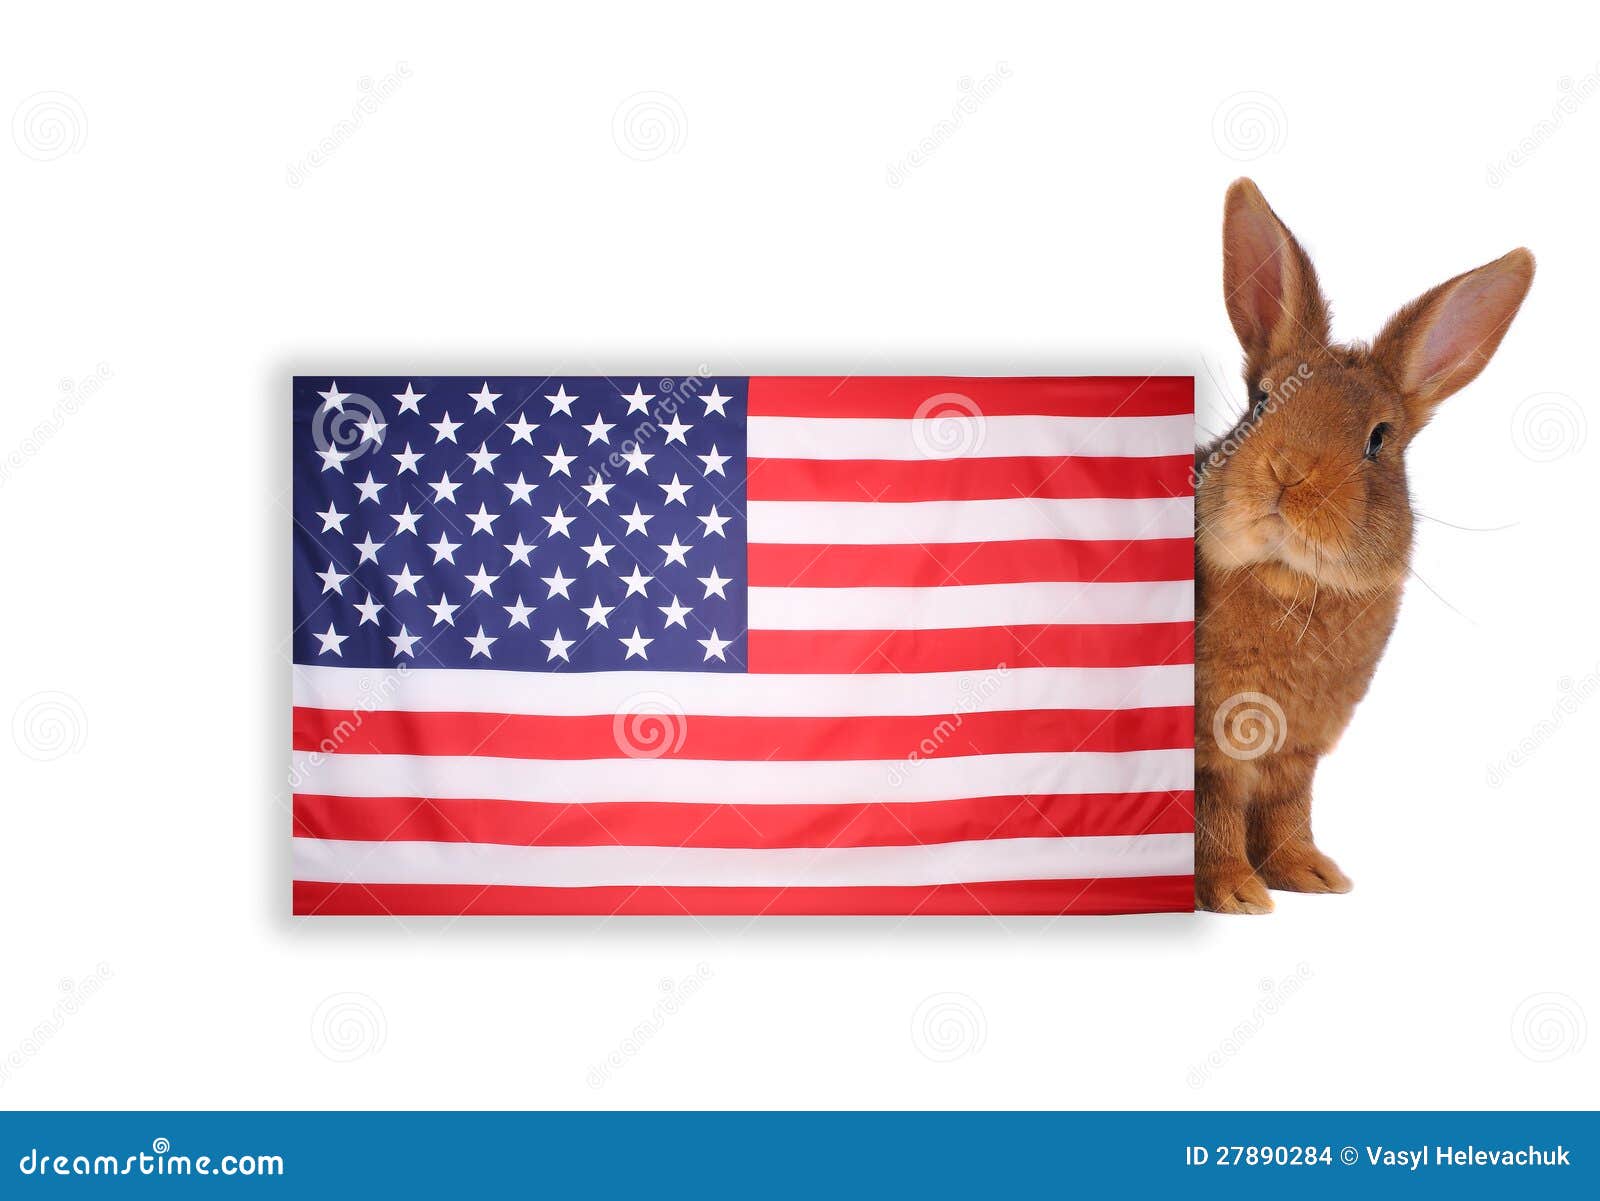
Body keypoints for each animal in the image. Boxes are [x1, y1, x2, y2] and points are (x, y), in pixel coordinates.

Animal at [1193, 178, 1534, 914]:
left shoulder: (1295, 754)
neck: (1291, 581)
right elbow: (1217, 814)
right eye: (1260, 404)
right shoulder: (1211, 749)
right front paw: (1236, 893)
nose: (1288, 471)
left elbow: (1289, 810)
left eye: (1379, 439)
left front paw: (1313, 875)